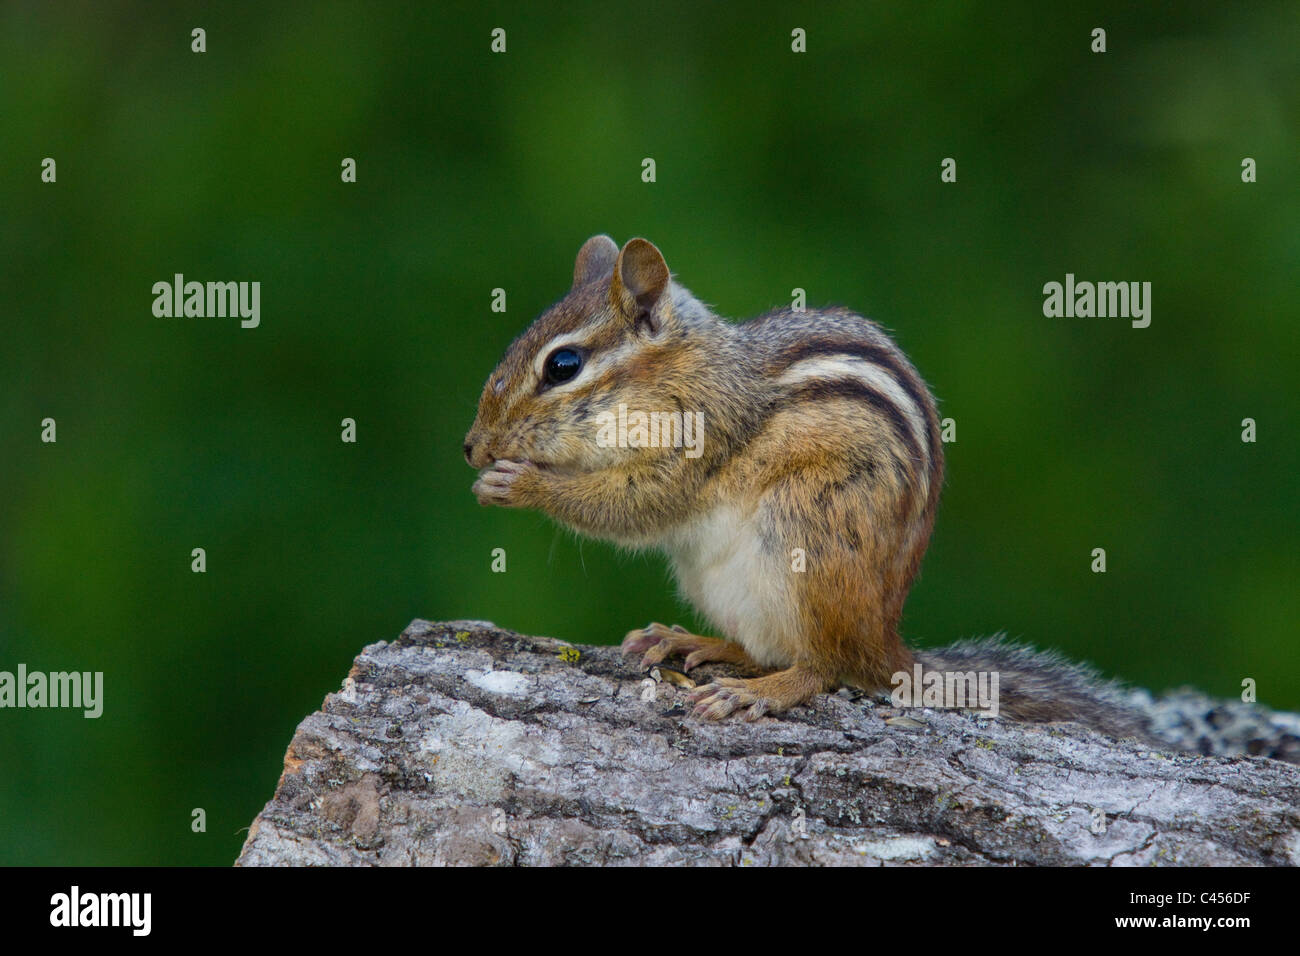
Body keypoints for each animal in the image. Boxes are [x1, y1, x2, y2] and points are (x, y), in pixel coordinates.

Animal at [464, 235, 1152, 740]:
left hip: (806, 535)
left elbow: (636, 506)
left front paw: (520, 484)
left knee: (826, 667)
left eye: (563, 366)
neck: (678, 373)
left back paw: (760, 694)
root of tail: (884, 641)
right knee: (768, 646)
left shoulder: (700, 439)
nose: (471, 446)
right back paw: (689, 639)